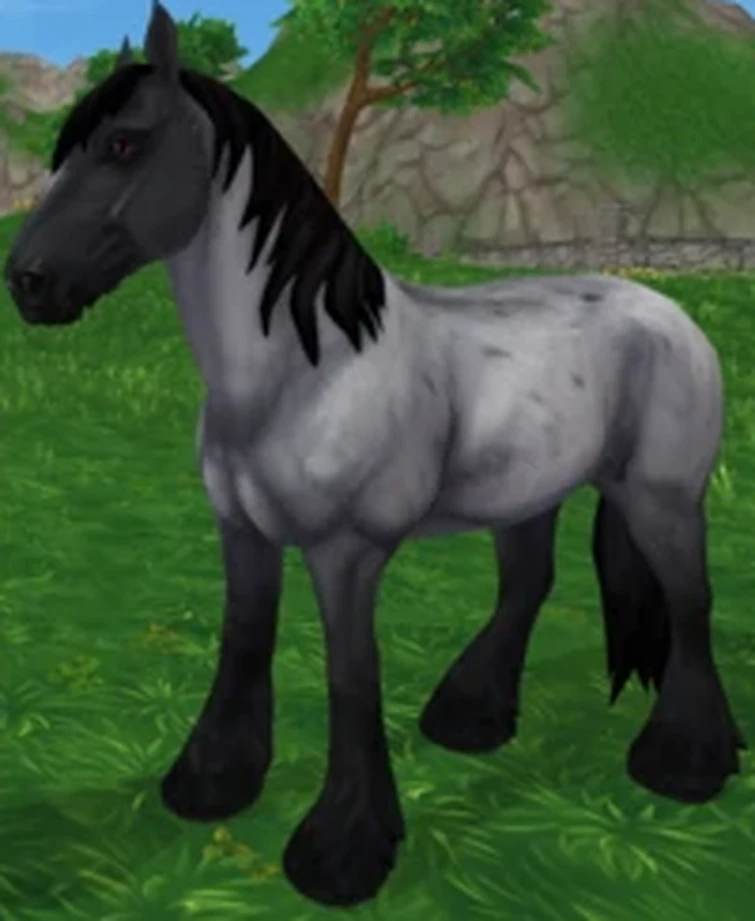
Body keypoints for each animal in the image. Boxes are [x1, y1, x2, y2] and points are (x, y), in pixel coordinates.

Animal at [4, 2, 745, 908]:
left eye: (123, 143)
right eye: (66, 150)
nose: (28, 281)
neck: (307, 368)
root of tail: (666, 313)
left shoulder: (345, 553)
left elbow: (350, 679)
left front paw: (341, 852)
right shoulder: (240, 533)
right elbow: (242, 640)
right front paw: (211, 782)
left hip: (663, 497)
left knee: (690, 603)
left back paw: (681, 763)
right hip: (526, 494)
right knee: (527, 584)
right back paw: (468, 718)